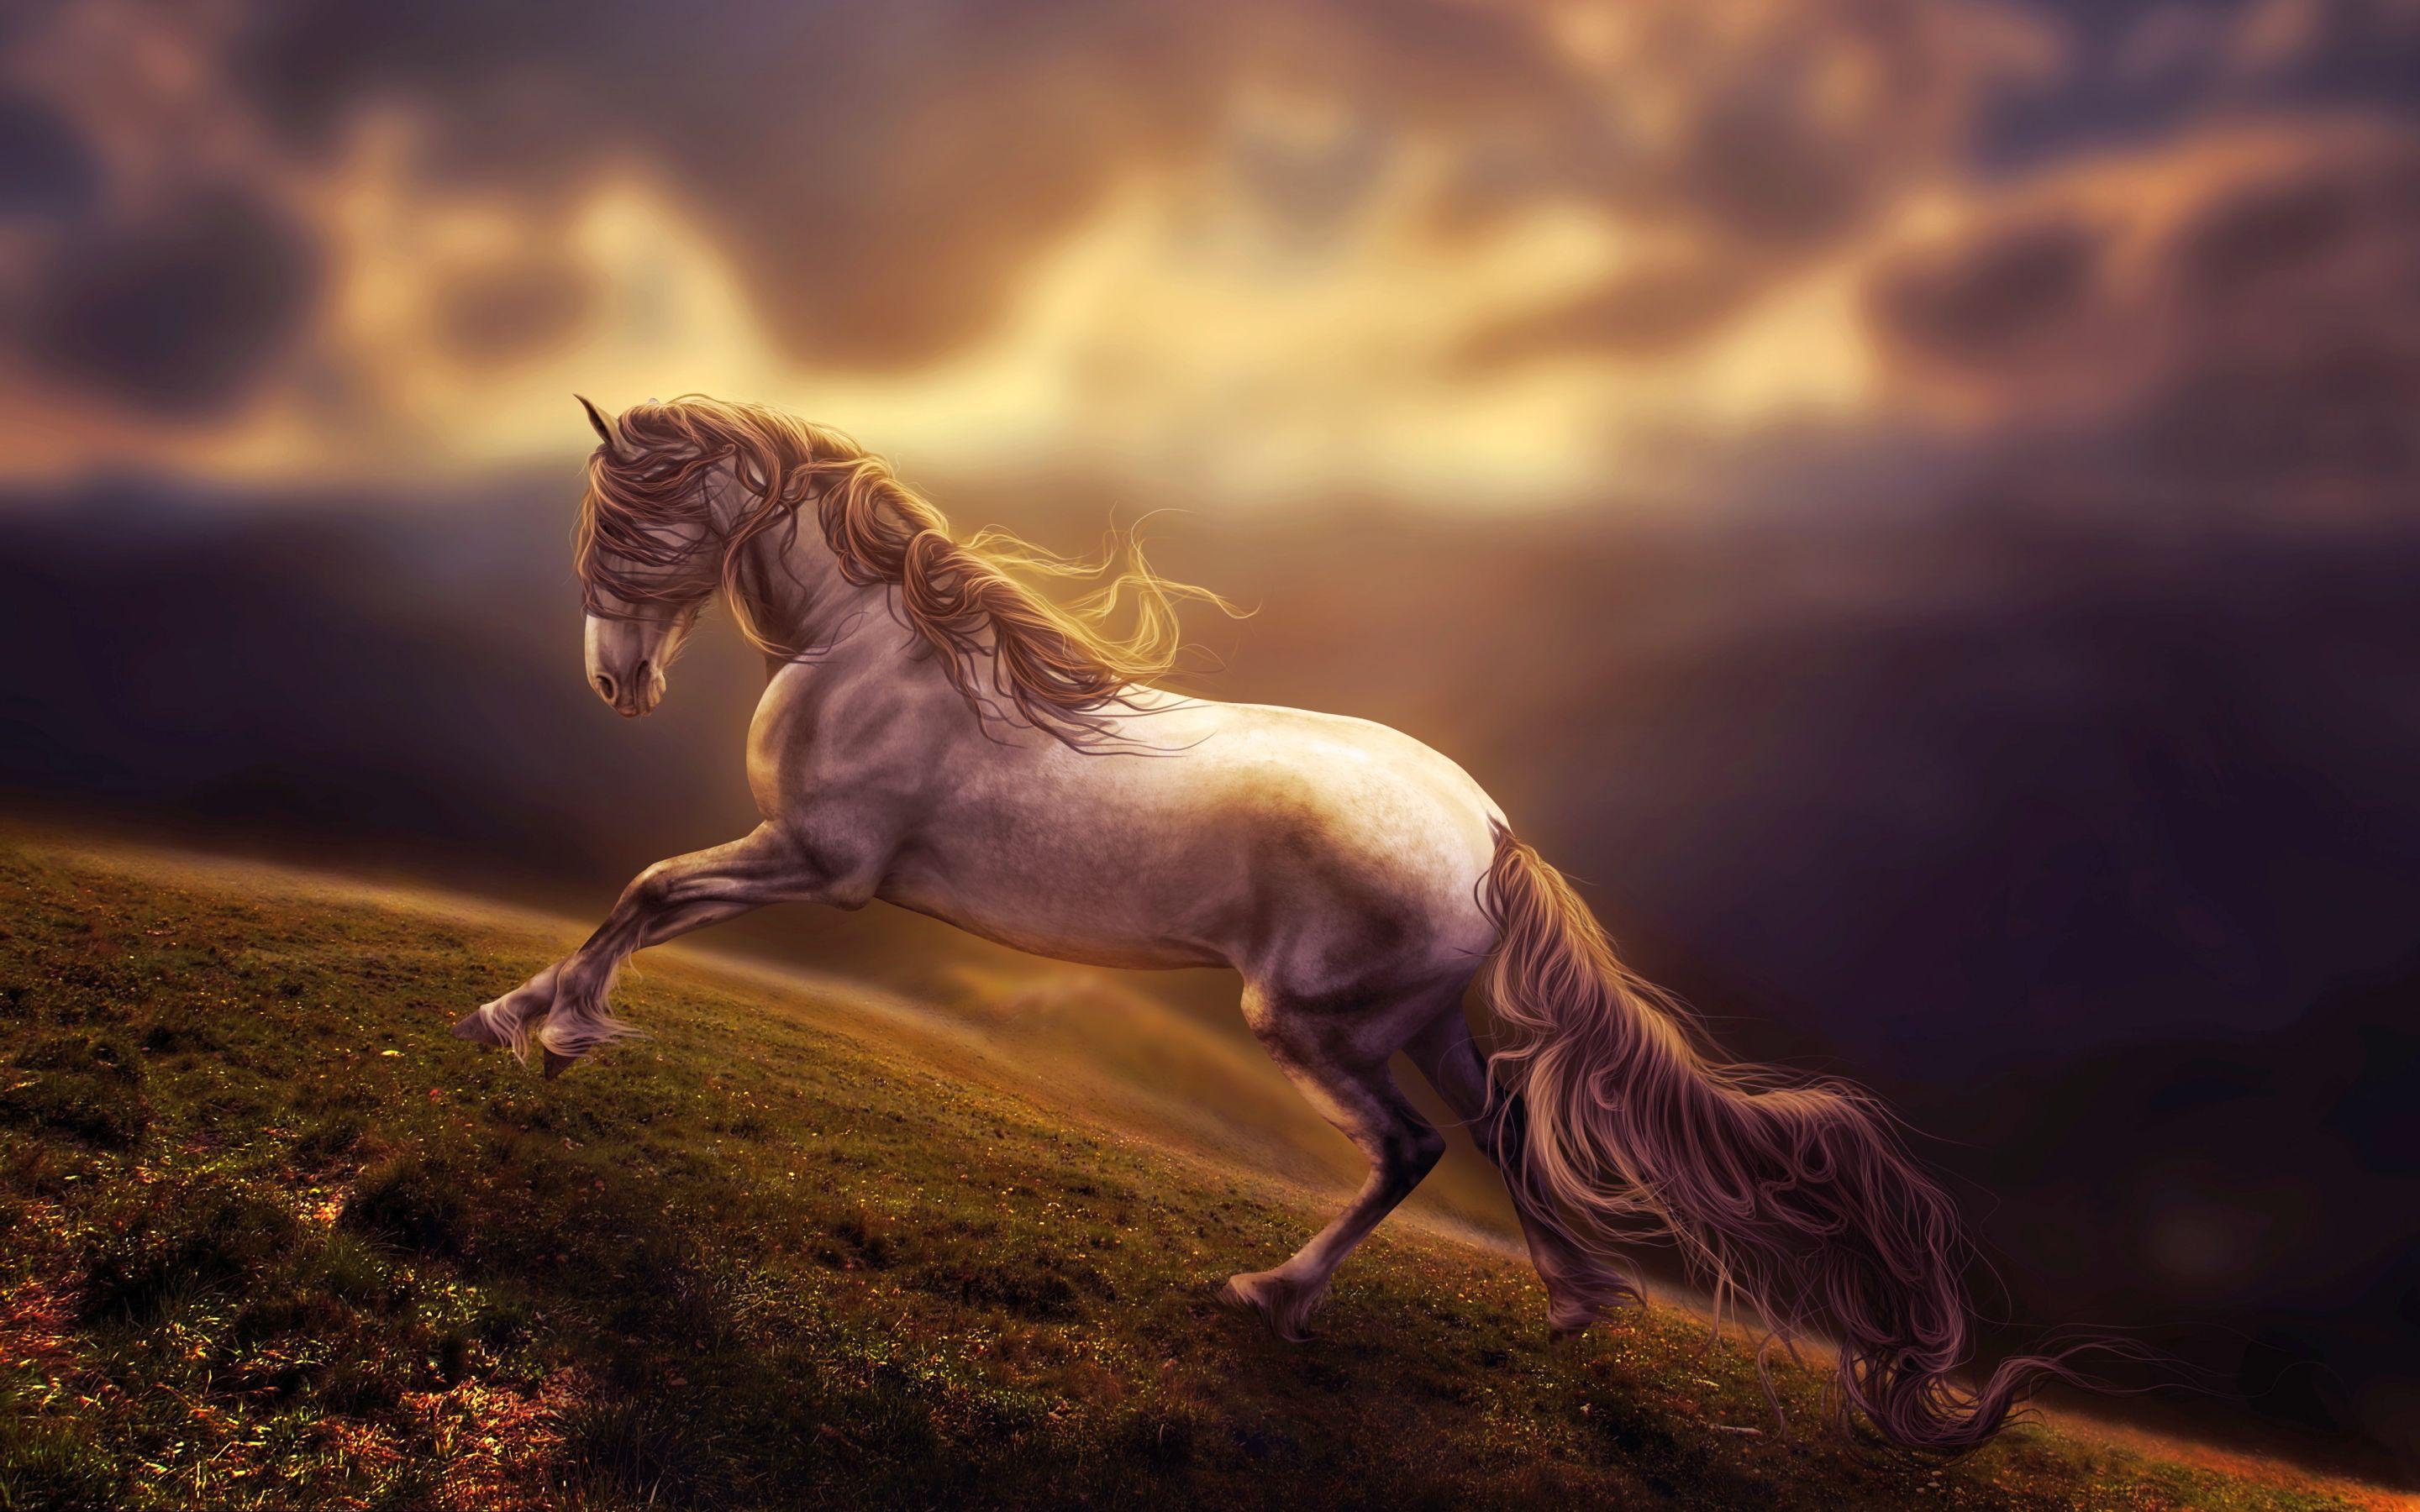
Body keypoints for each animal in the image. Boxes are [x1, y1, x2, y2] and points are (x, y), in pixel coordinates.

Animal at [451, 393, 2065, 1450]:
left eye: (639, 521)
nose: (615, 680)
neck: (881, 652)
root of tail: (1490, 834)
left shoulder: (816, 863)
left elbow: (651, 891)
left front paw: (541, 1025)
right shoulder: (804, 862)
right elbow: (651, 895)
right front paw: (526, 1018)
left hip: (1312, 1024)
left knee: (1413, 1152)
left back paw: (1273, 1296)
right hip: (1424, 1021)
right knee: (1506, 1130)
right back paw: (1575, 1307)